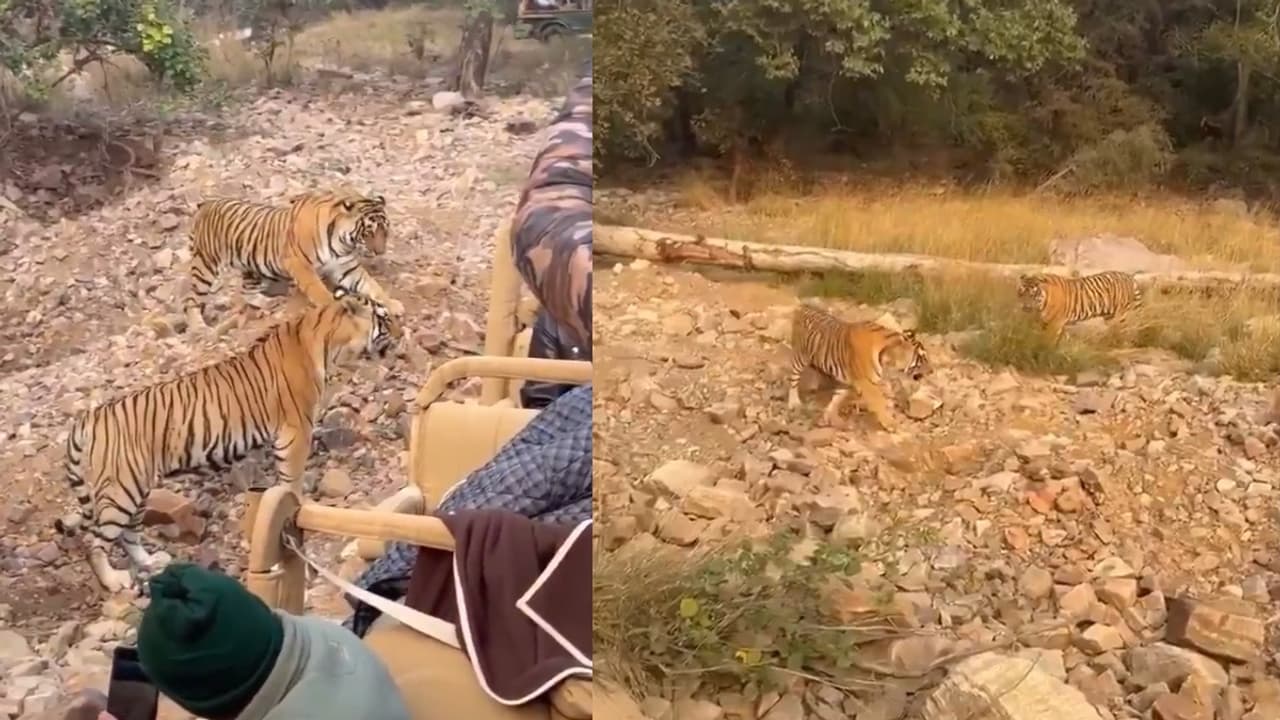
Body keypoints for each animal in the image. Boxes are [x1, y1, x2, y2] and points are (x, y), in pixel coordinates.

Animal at [54, 288, 402, 594]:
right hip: (121, 491)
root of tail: (90, 416)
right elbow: (293, 479)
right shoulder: (295, 432)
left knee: (128, 535)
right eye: (384, 318)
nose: (403, 330)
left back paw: (151, 561)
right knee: (96, 541)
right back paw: (114, 580)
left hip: (136, 488)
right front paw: (298, 508)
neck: (327, 338)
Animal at [184, 190, 403, 331]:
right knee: (191, 299)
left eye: (385, 231)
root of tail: (206, 203)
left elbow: (371, 286)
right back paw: (199, 328)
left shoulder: (346, 267)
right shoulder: (299, 264)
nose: (380, 251)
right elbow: (318, 291)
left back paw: (269, 302)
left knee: (246, 292)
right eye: (368, 233)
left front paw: (393, 304)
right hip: (205, 265)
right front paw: (334, 307)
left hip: (252, 267)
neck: (342, 241)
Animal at [787, 303, 932, 431]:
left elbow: (836, 399)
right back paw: (793, 403)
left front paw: (831, 419)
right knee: (793, 381)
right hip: (800, 357)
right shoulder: (866, 383)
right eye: (922, 358)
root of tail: (802, 307)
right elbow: (880, 402)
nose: (932, 371)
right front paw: (890, 424)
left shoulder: (850, 382)